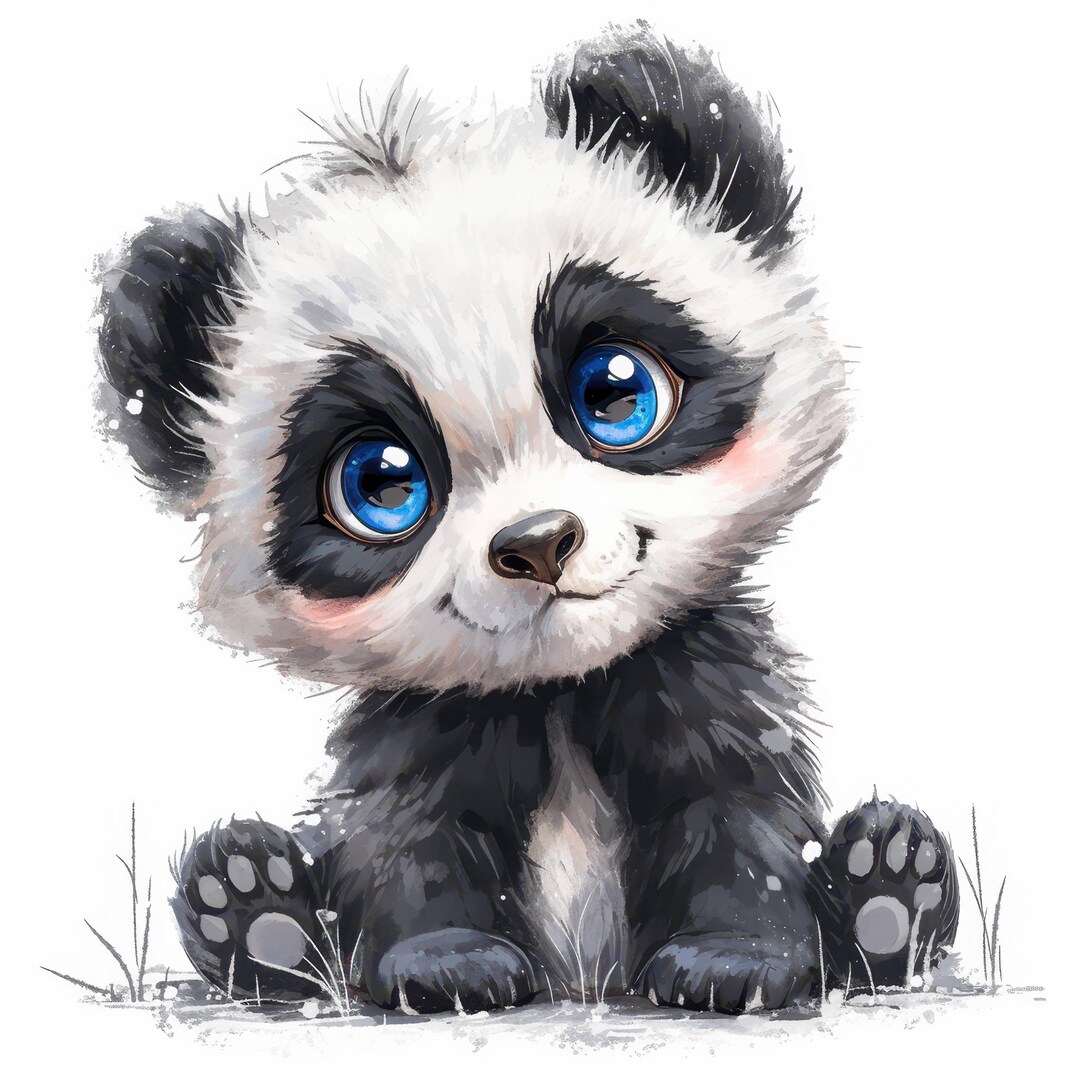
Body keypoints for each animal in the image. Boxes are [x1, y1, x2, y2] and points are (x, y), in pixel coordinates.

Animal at [96, 25, 958, 1014]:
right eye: (380, 483)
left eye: (615, 391)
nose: (539, 545)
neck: (561, 692)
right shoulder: (426, 726)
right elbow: (410, 838)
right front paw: (447, 964)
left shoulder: (702, 682)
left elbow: (734, 807)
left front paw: (730, 962)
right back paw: (251, 902)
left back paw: (888, 885)